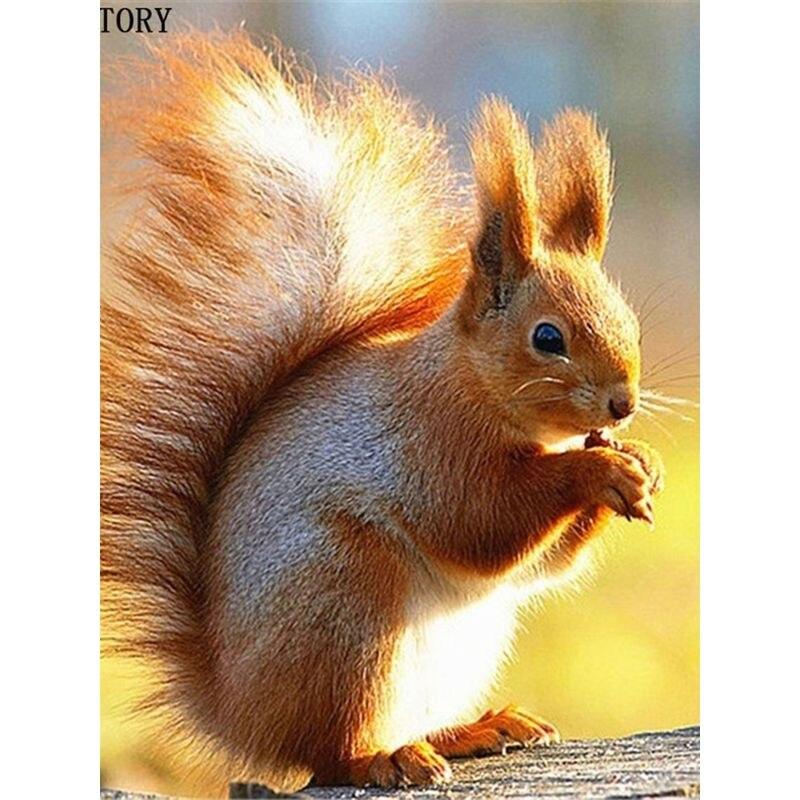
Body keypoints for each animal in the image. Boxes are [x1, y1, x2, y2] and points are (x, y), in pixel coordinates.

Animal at [101, 31, 664, 795]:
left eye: (627, 318)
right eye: (548, 338)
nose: (623, 403)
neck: (467, 384)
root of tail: (237, 712)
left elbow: (542, 566)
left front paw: (641, 461)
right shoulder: (428, 444)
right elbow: (481, 522)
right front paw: (598, 470)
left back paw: (474, 730)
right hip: (347, 601)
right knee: (328, 752)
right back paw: (384, 758)